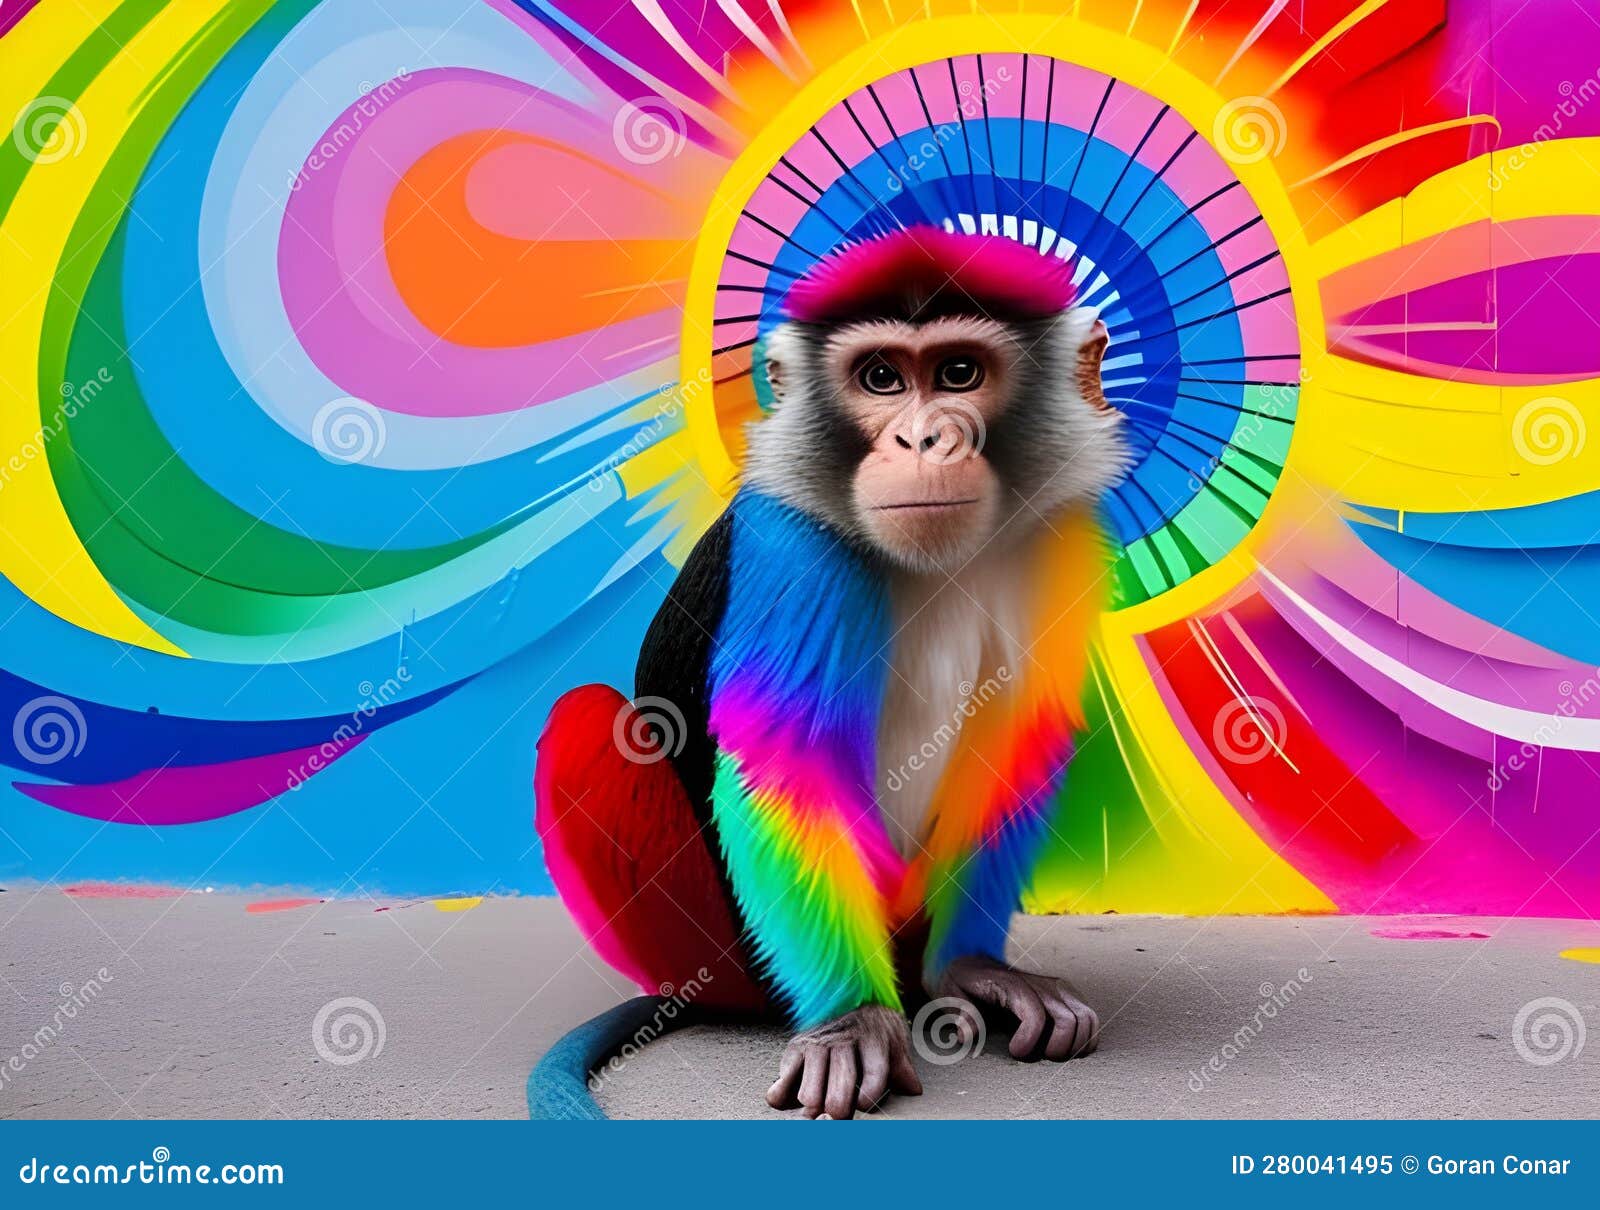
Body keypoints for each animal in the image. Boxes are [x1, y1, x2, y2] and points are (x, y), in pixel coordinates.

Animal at [535, 225, 1129, 1119]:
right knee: (585, 718)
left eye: (960, 373)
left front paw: (974, 969)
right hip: (716, 943)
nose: (923, 441)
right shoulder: (795, 541)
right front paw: (850, 1021)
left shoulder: (1062, 532)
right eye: (881, 378)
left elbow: (1019, 735)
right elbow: (789, 763)